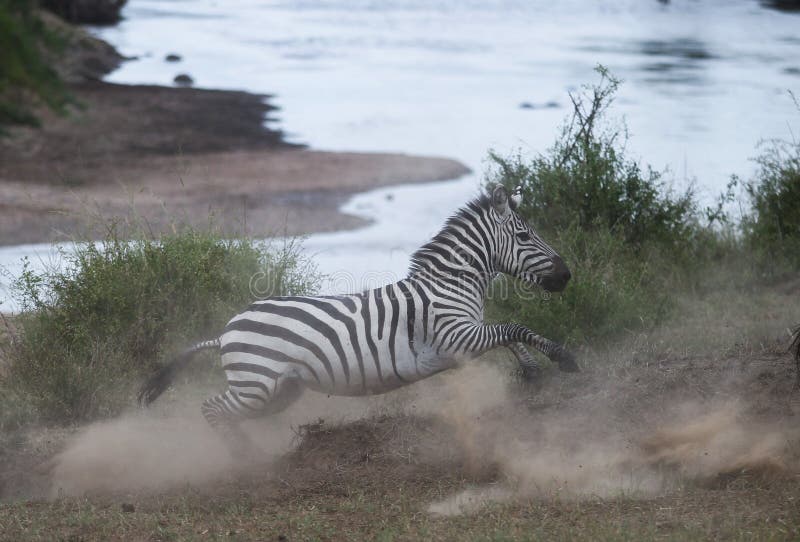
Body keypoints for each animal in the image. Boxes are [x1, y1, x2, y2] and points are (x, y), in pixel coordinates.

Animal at [138, 185, 577, 454]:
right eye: (524, 236)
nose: (567, 275)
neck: (451, 283)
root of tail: (225, 331)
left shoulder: (468, 338)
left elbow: (510, 334)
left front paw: (533, 371)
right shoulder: (454, 340)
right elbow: (513, 328)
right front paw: (563, 357)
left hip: (278, 392)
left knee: (223, 411)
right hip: (256, 386)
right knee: (209, 407)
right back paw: (243, 457)